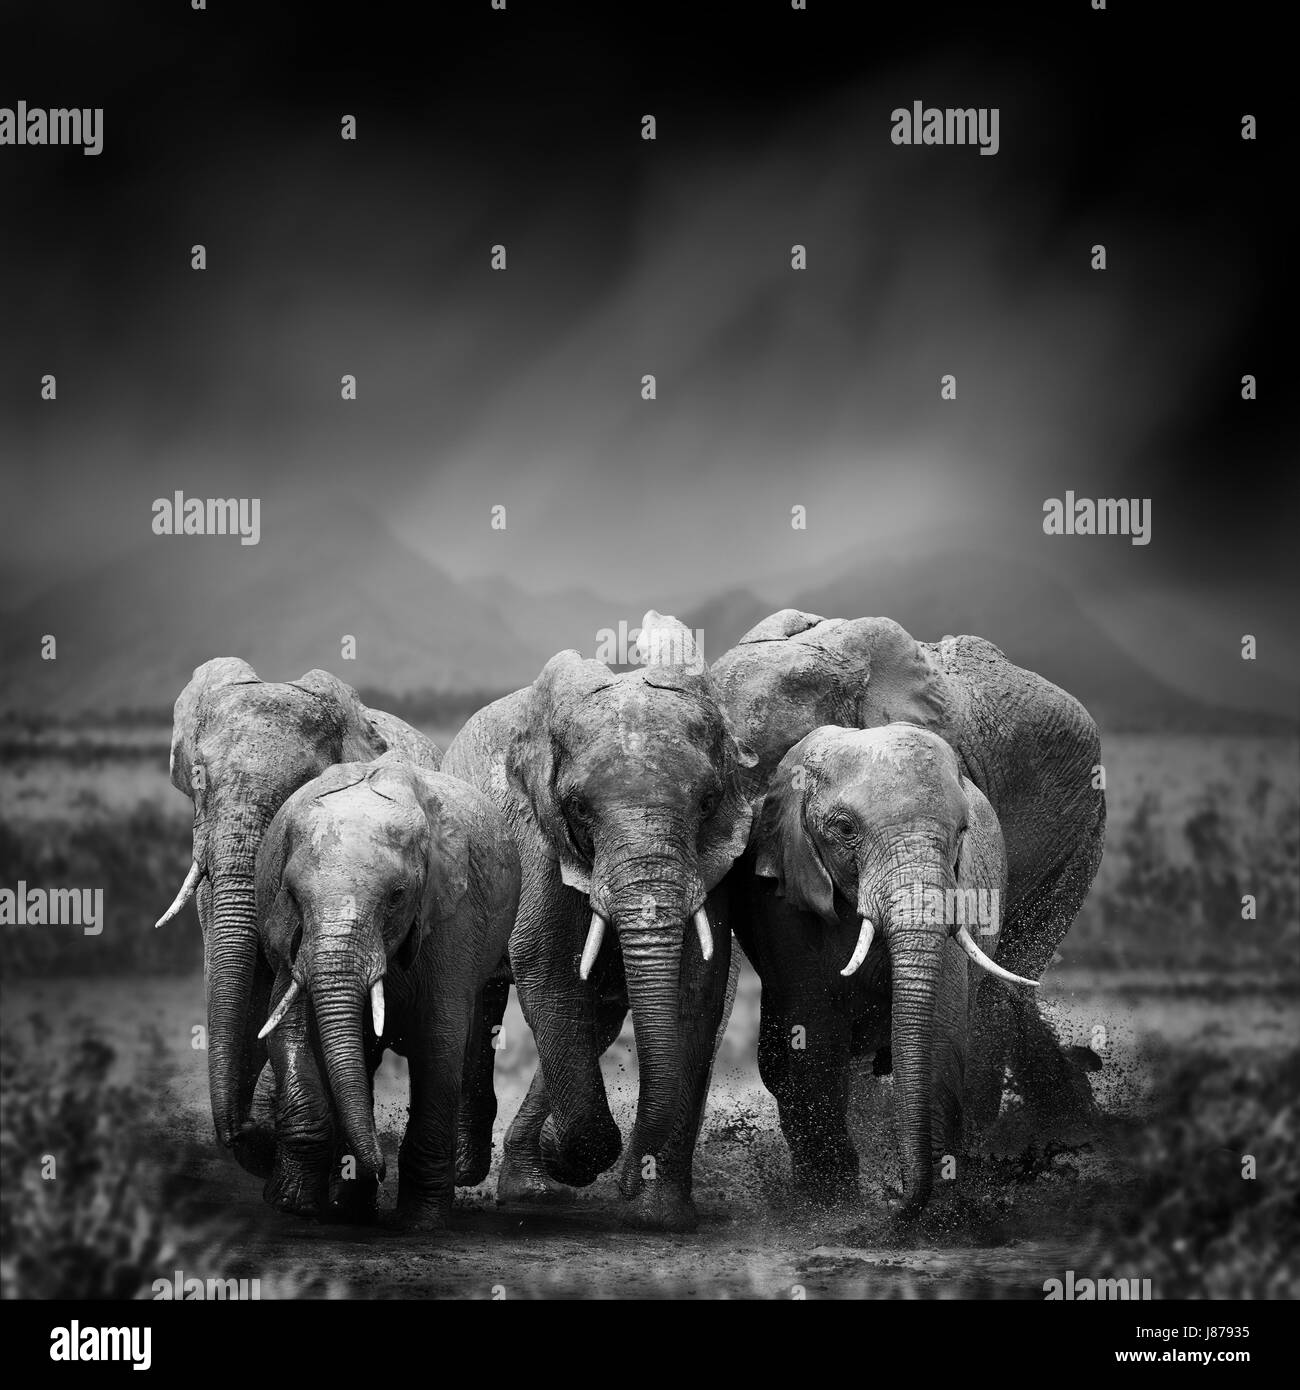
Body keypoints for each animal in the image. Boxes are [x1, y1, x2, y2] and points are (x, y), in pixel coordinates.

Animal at [252, 753, 520, 1229]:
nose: (378, 1168)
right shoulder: (289, 935)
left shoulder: (451, 916)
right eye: (293, 895)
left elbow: (440, 1039)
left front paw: (421, 1223)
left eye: (396, 896)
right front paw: (292, 1204)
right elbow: (289, 1028)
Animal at [443, 611, 754, 1231]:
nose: (631, 1182)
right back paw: (470, 1169)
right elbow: (545, 961)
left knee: (601, 1015)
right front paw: (574, 1157)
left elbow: (696, 983)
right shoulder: (538, 836)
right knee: (481, 996)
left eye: (707, 803)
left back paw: (533, 1191)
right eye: (579, 808)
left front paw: (659, 1215)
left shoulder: (712, 863)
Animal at [750, 722, 1031, 1212]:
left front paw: (941, 1205)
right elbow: (811, 1034)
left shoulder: (958, 893)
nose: (894, 1198)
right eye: (844, 829)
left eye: (962, 831)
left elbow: (940, 1031)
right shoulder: (786, 898)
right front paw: (832, 1203)